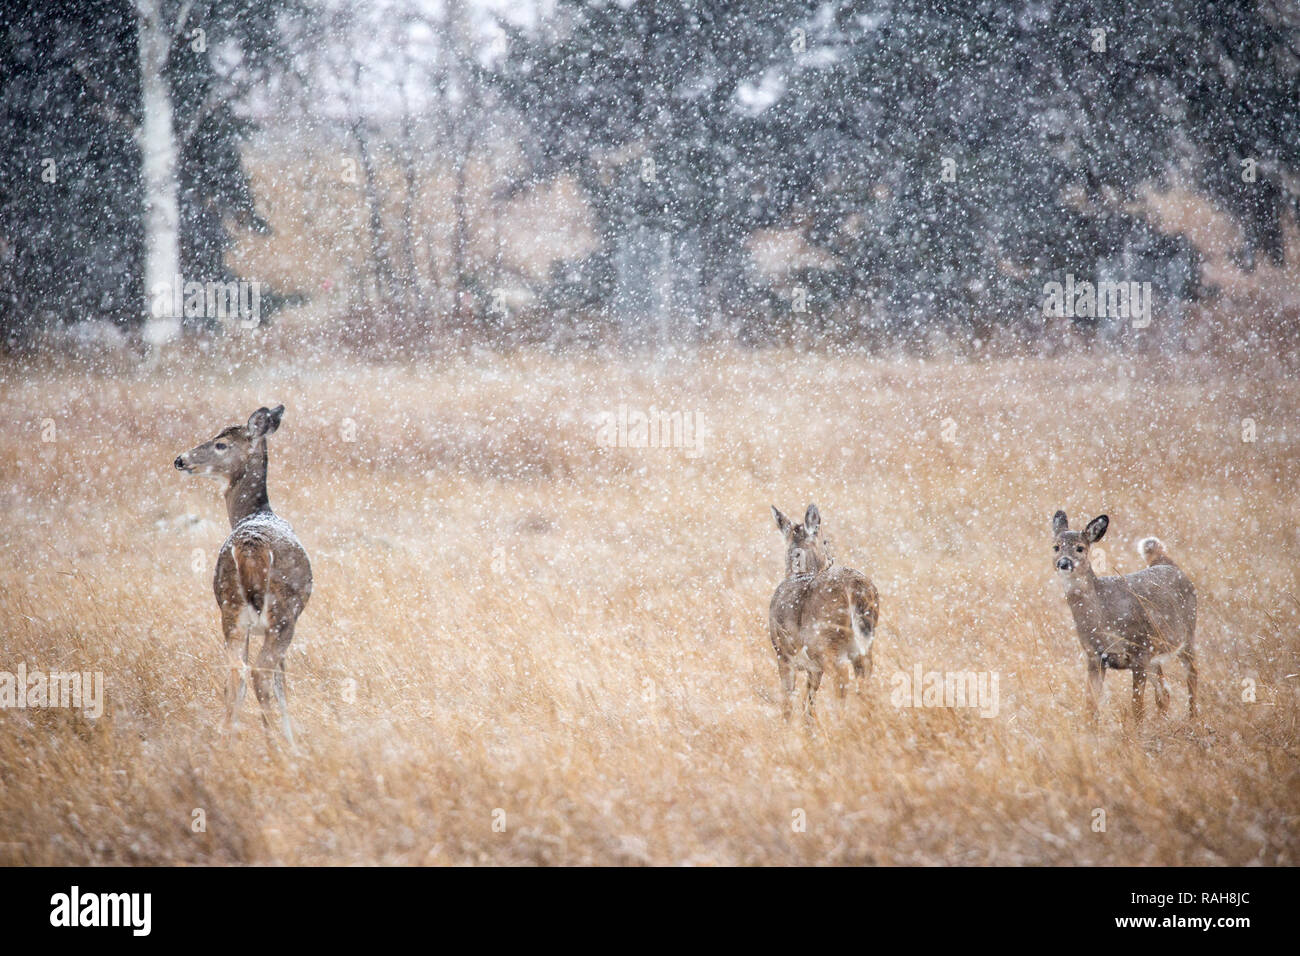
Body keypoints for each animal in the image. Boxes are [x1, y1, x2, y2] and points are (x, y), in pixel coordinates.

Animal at [175, 405, 312, 748]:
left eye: (221, 444)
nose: (180, 459)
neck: (256, 513)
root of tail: (252, 544)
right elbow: (281, 683)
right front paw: (291, 741)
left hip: (231, 606)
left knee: (236, 674)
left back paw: (227, 742)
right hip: (282, 614)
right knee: (260, 672)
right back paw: (274, 743)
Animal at [768, 504, 880, 724]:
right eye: (825, 541)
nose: (831, 558)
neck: (798, 573)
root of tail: (856, 588)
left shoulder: (783, 655)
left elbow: (788, 703)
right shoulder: (812, 668)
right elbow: (808, 703)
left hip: (827, 642)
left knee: (842, 680)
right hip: (865, 642)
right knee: (865, 680)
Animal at [1051, 511, 1197, 727]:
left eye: (1080, 547)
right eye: (1056, 547)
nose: (1064, 563)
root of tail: (1167, 563)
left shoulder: (1139, 651)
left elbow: (1137, 707)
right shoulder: (1095, 656)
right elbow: (1090, 706)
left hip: (1187, 635)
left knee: (1192, 676)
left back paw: (1194, 719)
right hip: (1155, 654)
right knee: (1164, 692)